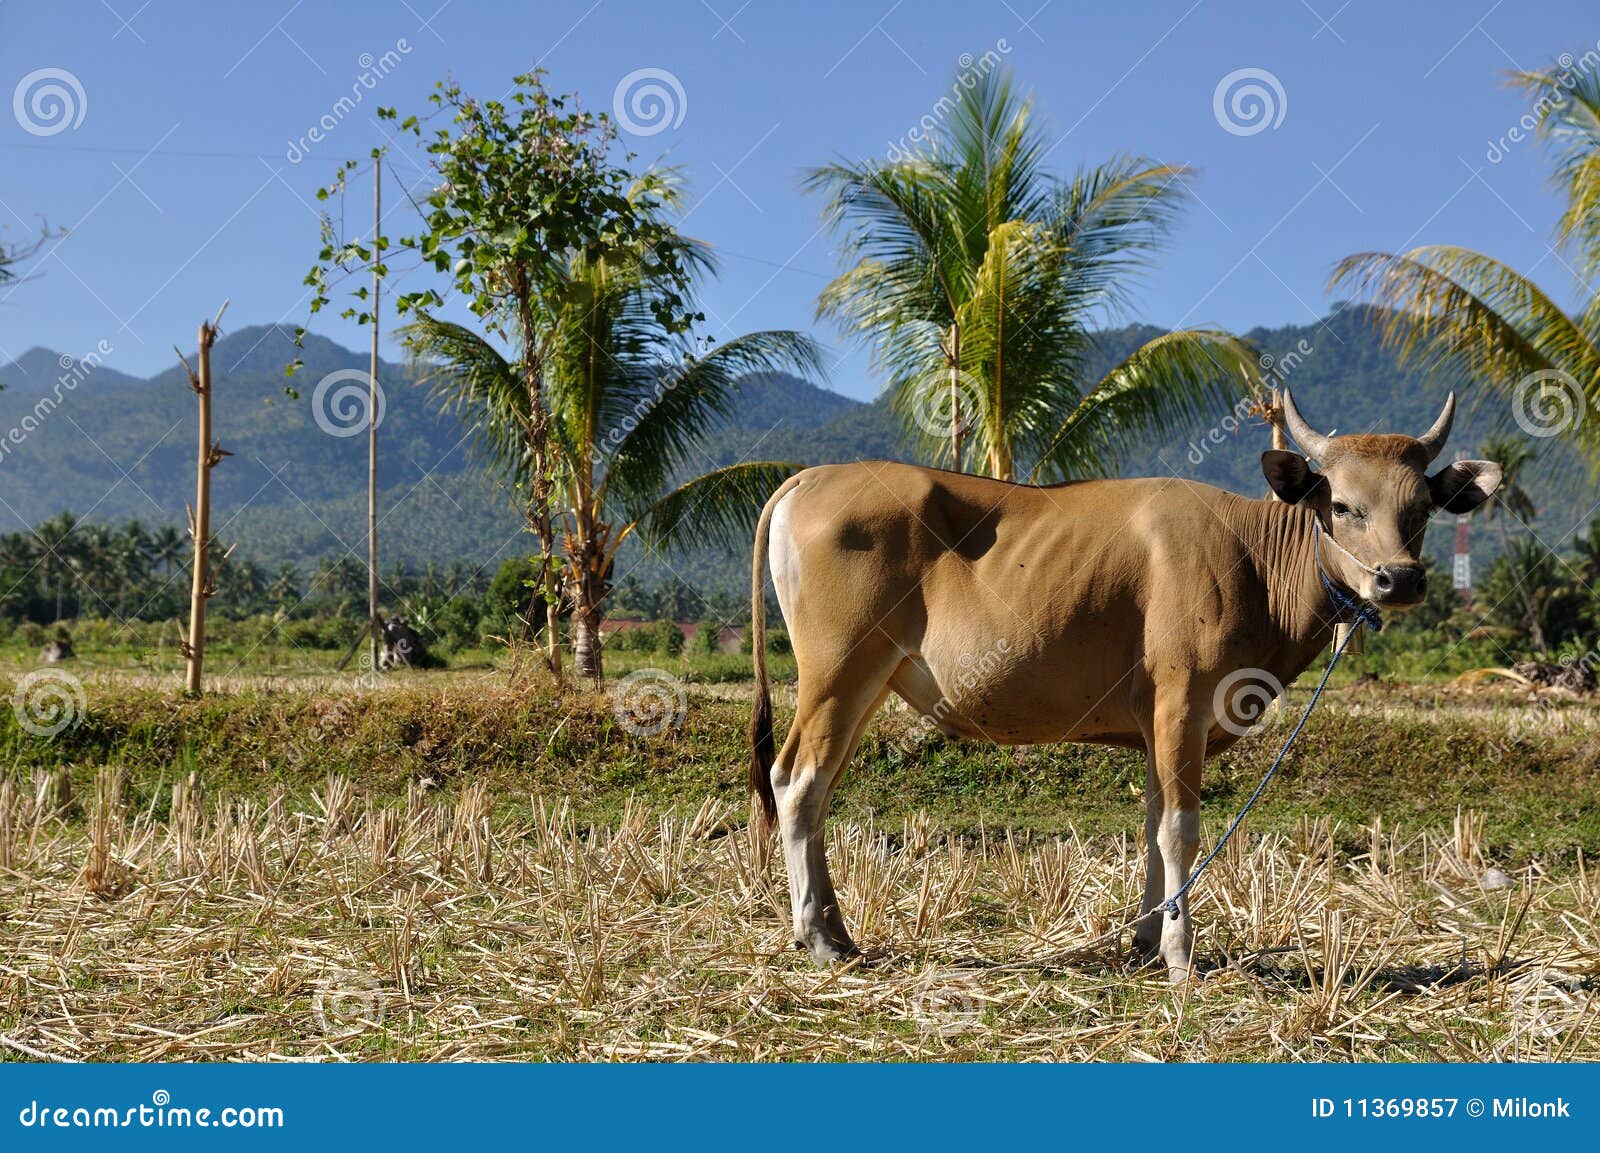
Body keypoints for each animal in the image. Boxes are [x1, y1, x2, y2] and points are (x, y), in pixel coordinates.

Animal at [746, 391, 1501, 980]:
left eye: (1421, 508)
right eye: (1342, 505)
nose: (1400, 579)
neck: (1254, 561)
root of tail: (810, 479)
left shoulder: (1156, 722)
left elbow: (1151, 822)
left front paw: (1143, 938)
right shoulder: (1182, 704)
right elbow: (1180, 830)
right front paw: (1181, 953)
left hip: (866, 685)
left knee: (819, 789)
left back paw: (839, 932)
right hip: (838, 672)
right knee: (798, 782)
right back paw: (817, 938)